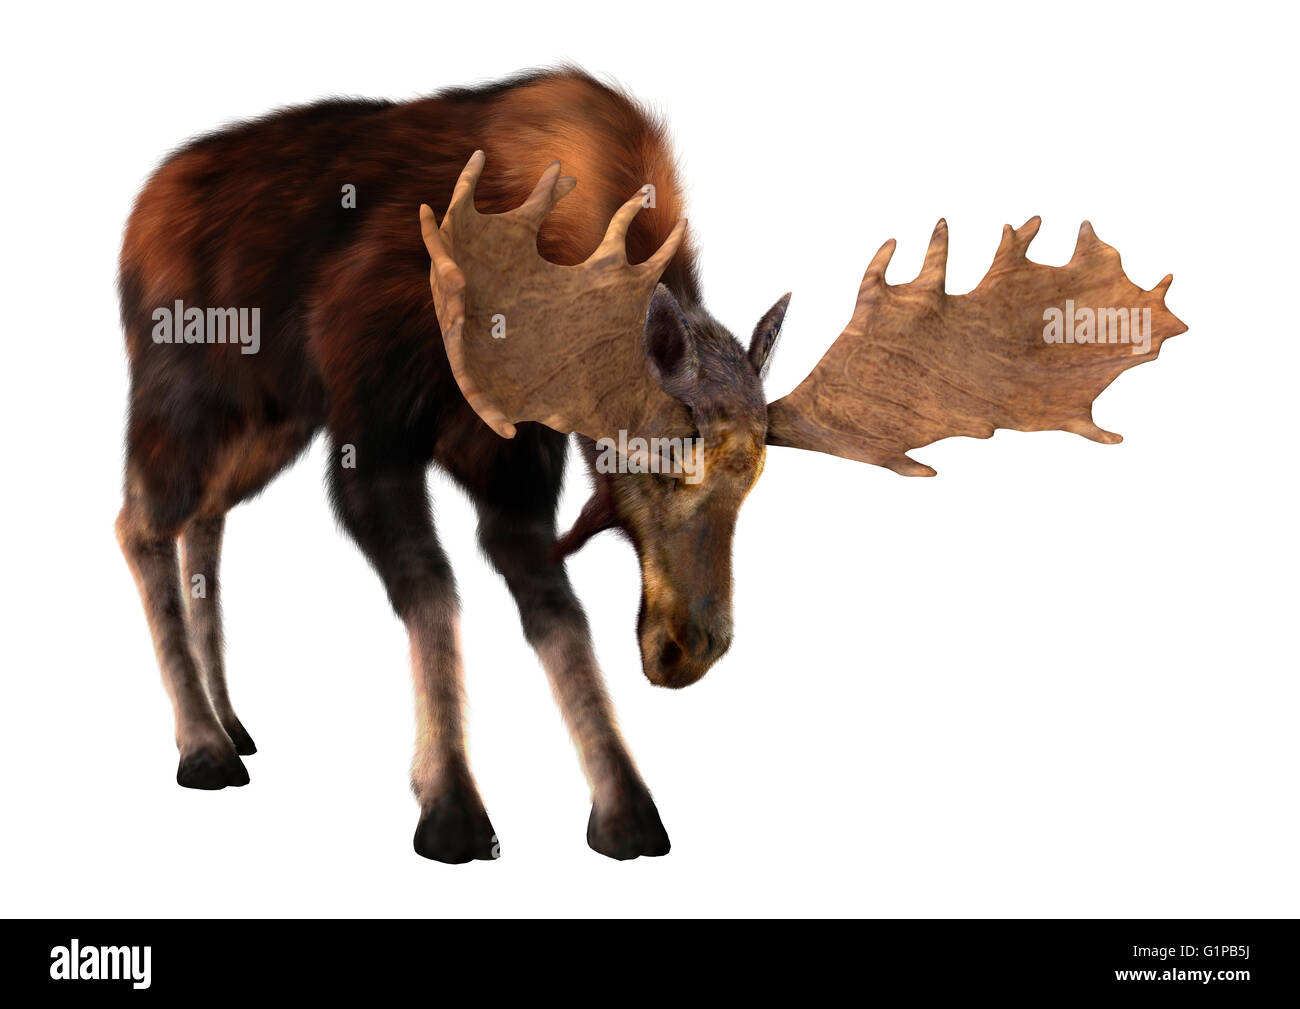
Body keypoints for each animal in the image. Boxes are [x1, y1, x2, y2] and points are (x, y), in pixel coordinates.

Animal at [116, 68, 1185, 863]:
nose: (691, 647)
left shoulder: (513, 458)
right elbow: (433, 590)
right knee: (141, 519)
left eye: (756, 481)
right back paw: (202, 743)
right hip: (195, 390)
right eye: (662, 459)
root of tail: (135, 218)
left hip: (267, 424)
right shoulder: (373, 426)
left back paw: (232, 719)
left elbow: (553, 610)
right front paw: (452, 806)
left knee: (203, 519)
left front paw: (623, 807)